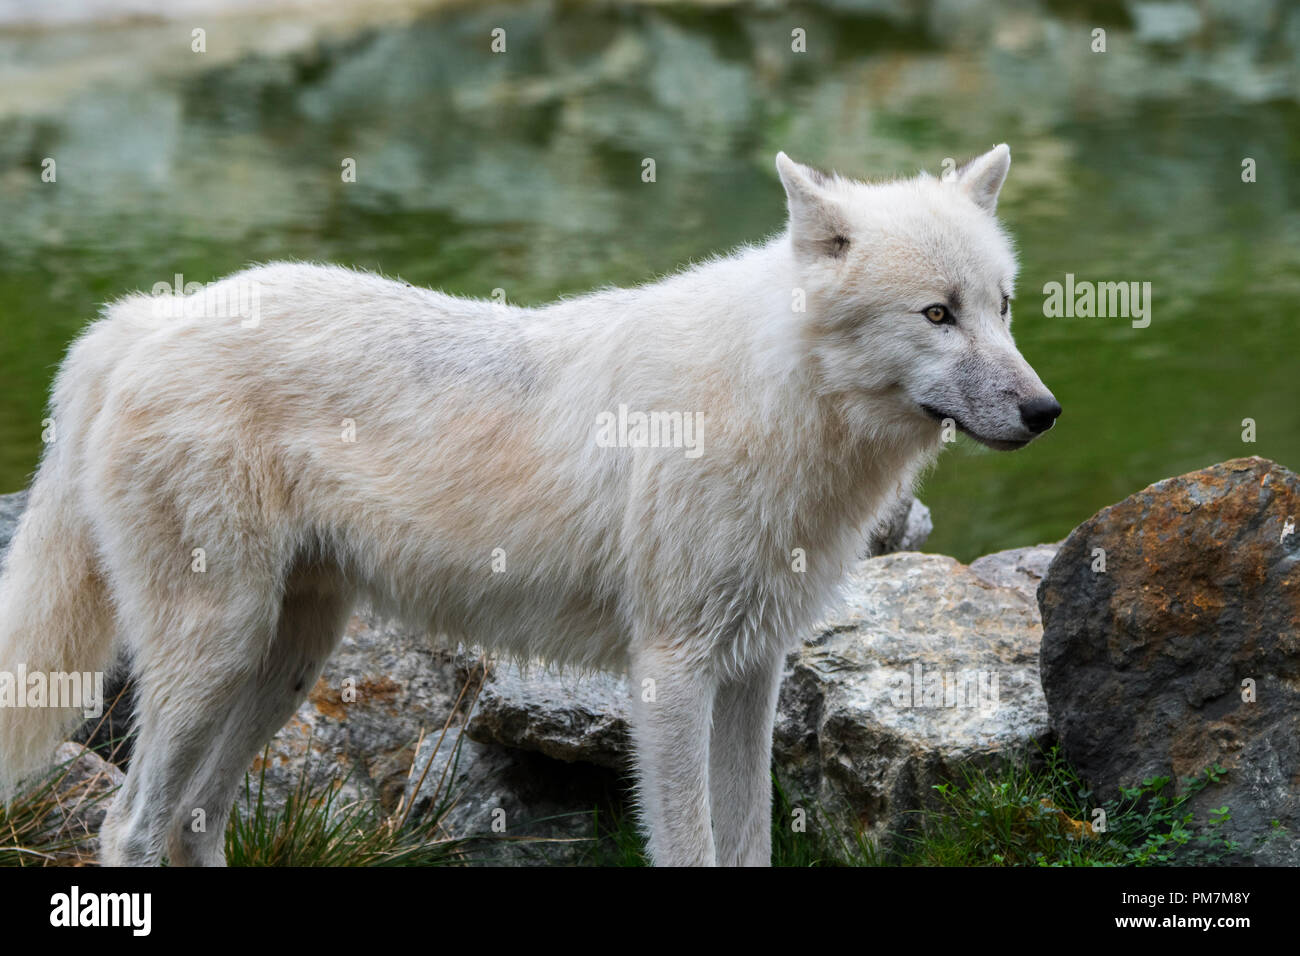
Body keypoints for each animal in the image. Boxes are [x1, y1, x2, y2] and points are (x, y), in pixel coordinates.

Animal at [0, 144, 1058, 866]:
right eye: (937, 314)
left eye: (1003, 308)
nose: (1045, 412)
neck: (773, 397)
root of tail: (143, 318)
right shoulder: (671, 675)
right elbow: (691, 846)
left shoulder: (752, 673)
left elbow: (750, 843)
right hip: (218, 648)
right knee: (130, 828)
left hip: (288, 660)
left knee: (192, 823)